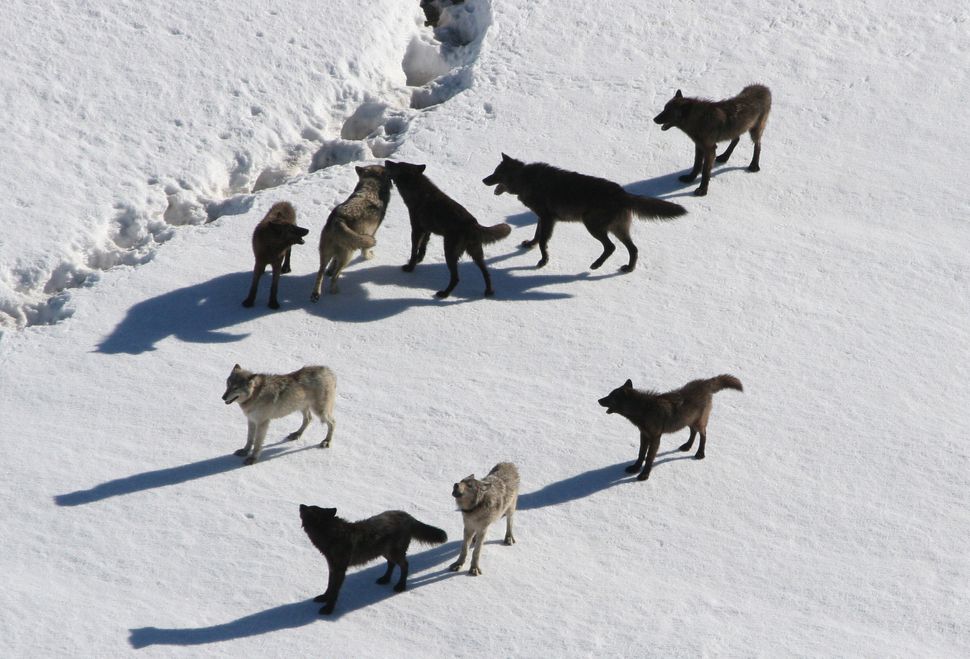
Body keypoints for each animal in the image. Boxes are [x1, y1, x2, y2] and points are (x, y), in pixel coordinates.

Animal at [299, 504, 447, 614]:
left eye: (309, 509)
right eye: (311, 506)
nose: (300, 504)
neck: (332, 534)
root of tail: (408, 516)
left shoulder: (339, 570)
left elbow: (334, 590)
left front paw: (328, 610)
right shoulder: (332, 567)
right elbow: (329, 587)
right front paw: (324, 598)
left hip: (394, 553)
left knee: (405, 565)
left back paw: (400, 586)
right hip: (385, 552)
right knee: (392, 564)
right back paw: (385, 579)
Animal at [311, 165, 392, 301]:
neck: (371, 186)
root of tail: (338, 219)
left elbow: (333, 263)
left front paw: (330, 270)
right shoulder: (371, 233)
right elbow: (365, 251)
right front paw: (369, 257)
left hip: (325, 254)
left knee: (320, 272)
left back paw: (316, 294)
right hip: (348, 255)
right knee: (335, 276)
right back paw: (335, 292)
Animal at [385, 160, 511, 298]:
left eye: (396, 165)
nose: (386, 161)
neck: (418, 192)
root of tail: (473, 224)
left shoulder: (417, 229)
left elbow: (414, 250)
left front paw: (410, 267)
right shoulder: (427, 230)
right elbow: (423, 248)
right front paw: (419, 260)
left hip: (450, 252)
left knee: (456, 278)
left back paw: (444, 294)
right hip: (476, 254)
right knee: (486, 272)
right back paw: (488, 291)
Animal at [482, 154, 686, 271]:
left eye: (496, 173)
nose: (483, 180)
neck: (525, 179)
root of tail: (623, 193)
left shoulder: (548, 218)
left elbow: (543, 242)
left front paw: (543, 261)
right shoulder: (542, 218)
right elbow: (537, 236)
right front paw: (529, 245)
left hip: (592, 225)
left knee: (611, 247)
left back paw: (596, 265)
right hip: (617, 229)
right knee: (633, 249)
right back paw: (628, 268)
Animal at [598, 375, 743, 481]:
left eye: (610, 397)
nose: (598, 400)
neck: (644, 410)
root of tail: (705, 382)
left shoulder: (655, 437)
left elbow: (649, 457)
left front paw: (644, 475)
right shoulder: (644, 435)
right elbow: (641, 454)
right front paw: (635, 468)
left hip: (698, 423)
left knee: (704, 435)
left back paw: (700, 454)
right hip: (688, 421)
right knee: (693, 432)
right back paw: (687, 446)